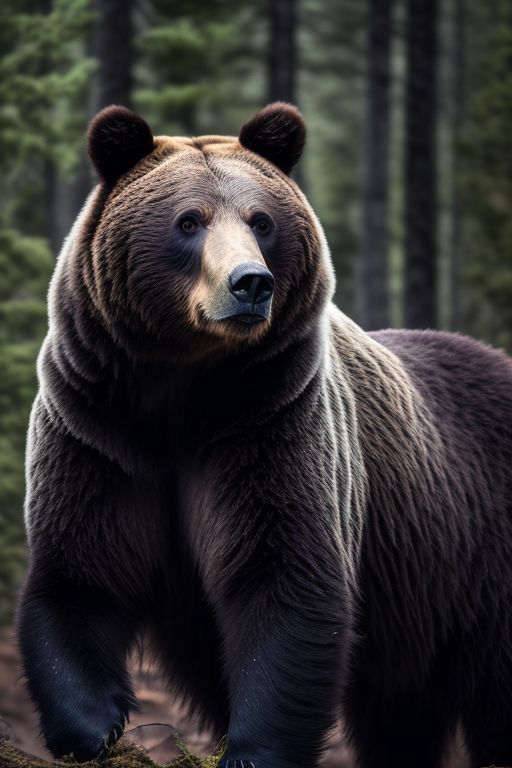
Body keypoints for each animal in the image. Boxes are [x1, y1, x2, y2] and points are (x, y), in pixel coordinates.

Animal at [16, 102, 512, 768]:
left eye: (262, 221)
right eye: (189, 221)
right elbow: (81, 571)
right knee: (399, 715)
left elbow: (282, 579)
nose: (250, 282)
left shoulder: (270, 423)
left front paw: (254, 749)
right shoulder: (98, 429)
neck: (181, 390)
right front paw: (93, 727)